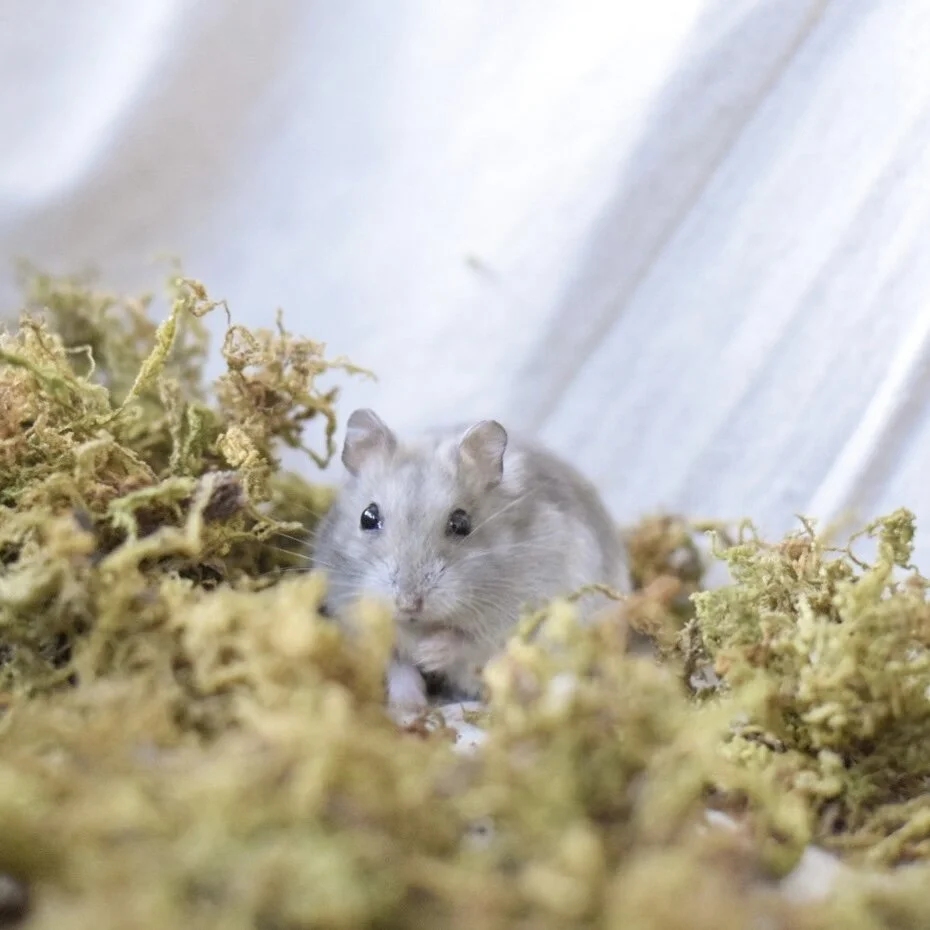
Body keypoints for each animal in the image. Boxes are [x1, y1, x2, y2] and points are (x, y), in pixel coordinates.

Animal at [310, 408, 629, 709]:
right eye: (367, 517)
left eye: (461, 523)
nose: (407, 605)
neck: (420, 626)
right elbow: (399, 668)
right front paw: (409, 709)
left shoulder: (517, 609)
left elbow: (467, 640)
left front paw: (427, 654)